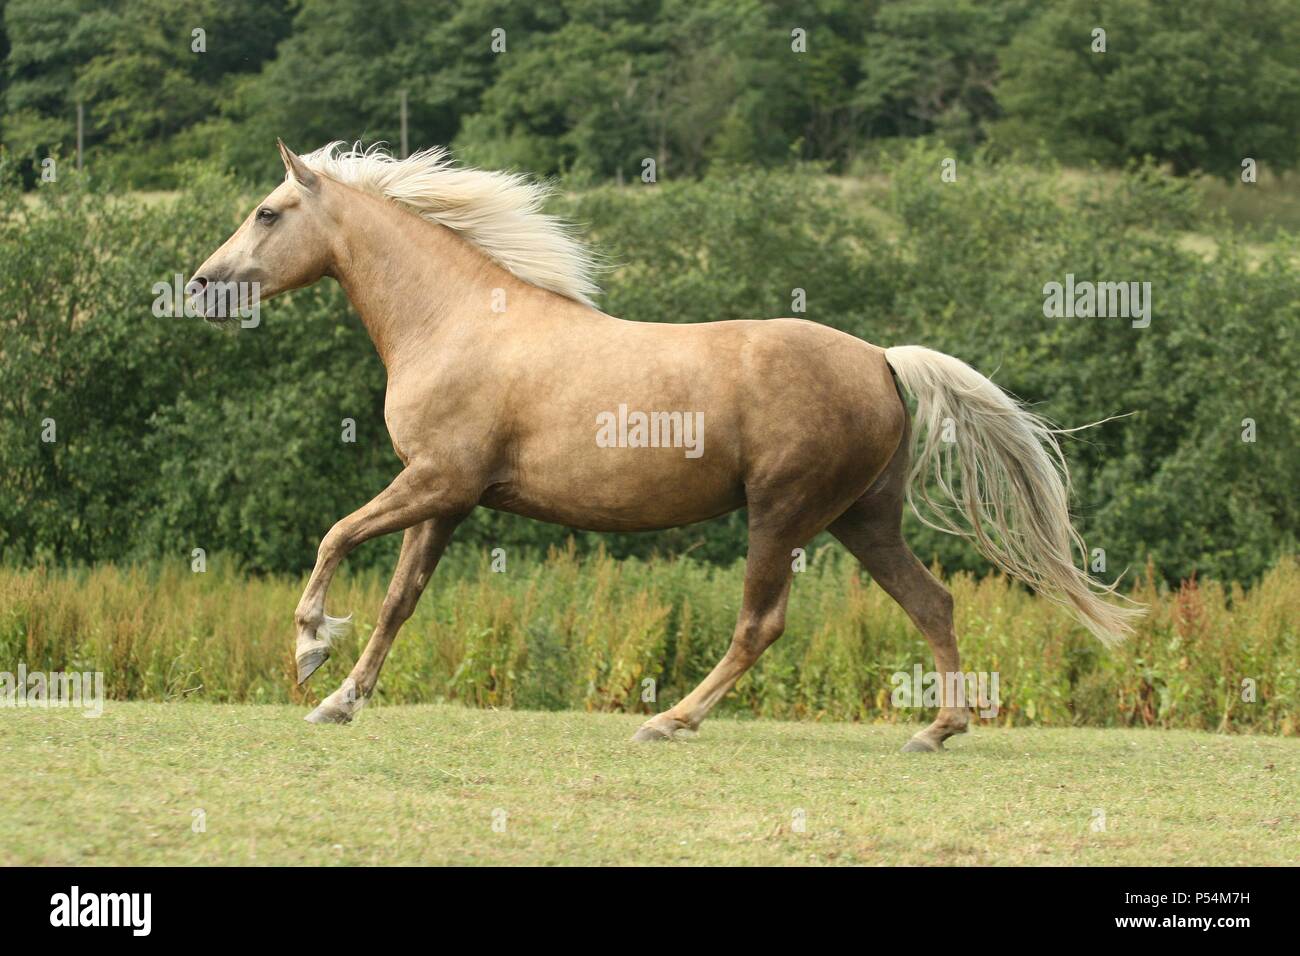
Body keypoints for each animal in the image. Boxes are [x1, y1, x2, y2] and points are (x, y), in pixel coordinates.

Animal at [189, 141, 1141, 752]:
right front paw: (339, 703)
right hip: (862, 520)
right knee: (932, 602)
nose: (201, 287)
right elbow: (397, 602)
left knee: (762, 623)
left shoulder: (434, 481)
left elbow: (335, 537)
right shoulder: (447, 500)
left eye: (267, 212)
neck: (456, 319)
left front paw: (310, 649)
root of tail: (880, 358)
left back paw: (670, 720)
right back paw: (937, 729)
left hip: (782, 514)